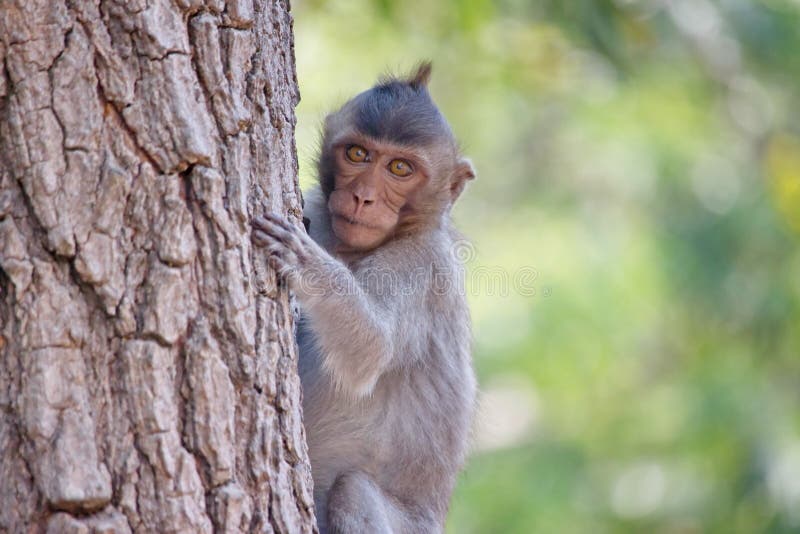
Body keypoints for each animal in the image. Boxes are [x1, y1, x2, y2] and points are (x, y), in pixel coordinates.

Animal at [252, 63, 476, 534]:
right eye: (357, 155)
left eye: (400, 168)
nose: (363, 197)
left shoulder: (419, 264)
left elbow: (372, 349)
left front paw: (306, 262)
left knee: (353, 488)